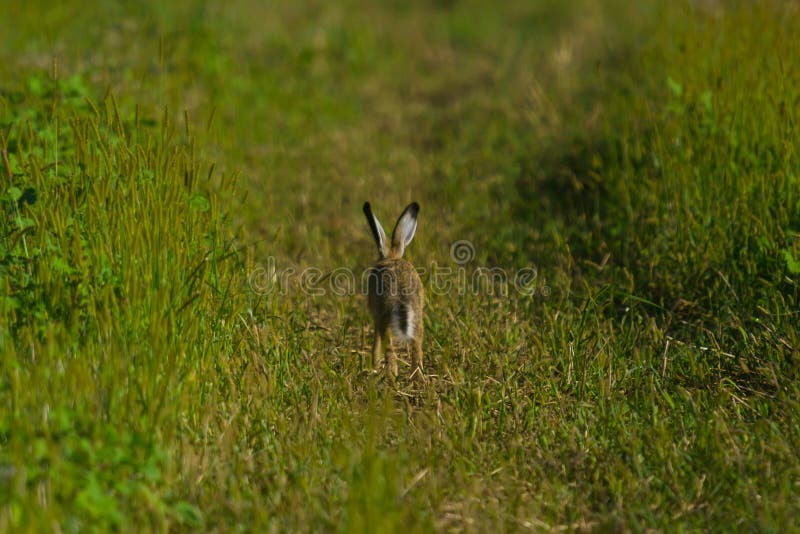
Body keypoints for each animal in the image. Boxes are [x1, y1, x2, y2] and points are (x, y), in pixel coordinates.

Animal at [363, 201, 424, 379]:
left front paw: (374, 364)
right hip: (418, 323)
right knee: (417, 350)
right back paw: (418, 379)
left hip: (385, 322)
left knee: (390, 352)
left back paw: (390, 377)